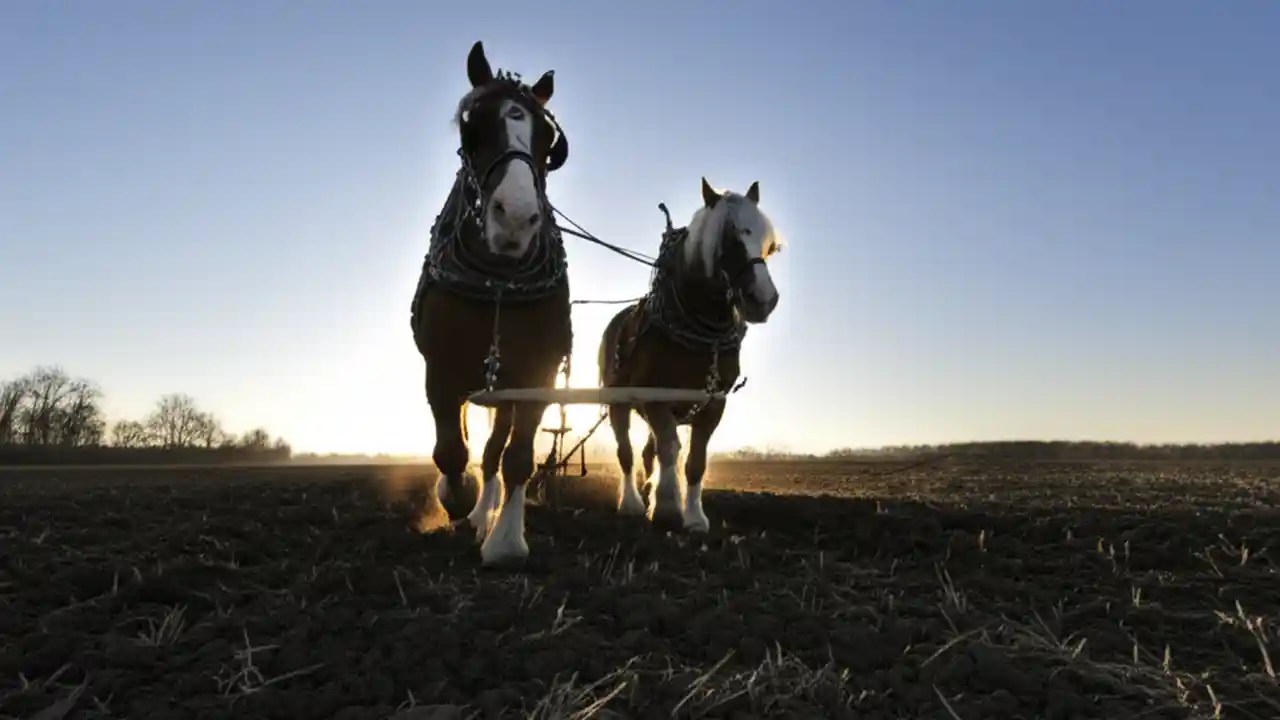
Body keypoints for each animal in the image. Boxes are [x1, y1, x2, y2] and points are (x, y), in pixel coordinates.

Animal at [410, 41, 572, 566]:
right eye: (471, 126)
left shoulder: (537, 372)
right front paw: (456, 500)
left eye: (549, 141)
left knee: (495, 450)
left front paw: (505, 539)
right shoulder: (440, 368)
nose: (517, 219)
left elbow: (516, 456)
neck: (498, 282)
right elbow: (450, 451)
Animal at [598, 178, 784, 532]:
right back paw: (631, 503)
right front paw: (667, 508)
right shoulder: (656, 397)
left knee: (647, 452)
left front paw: (695, 517)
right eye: (729, 236)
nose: (763, 299)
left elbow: (696, 458)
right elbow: (670, 449)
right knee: (626, 452)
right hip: (618, 401)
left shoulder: (714, 403)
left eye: (768, 243)